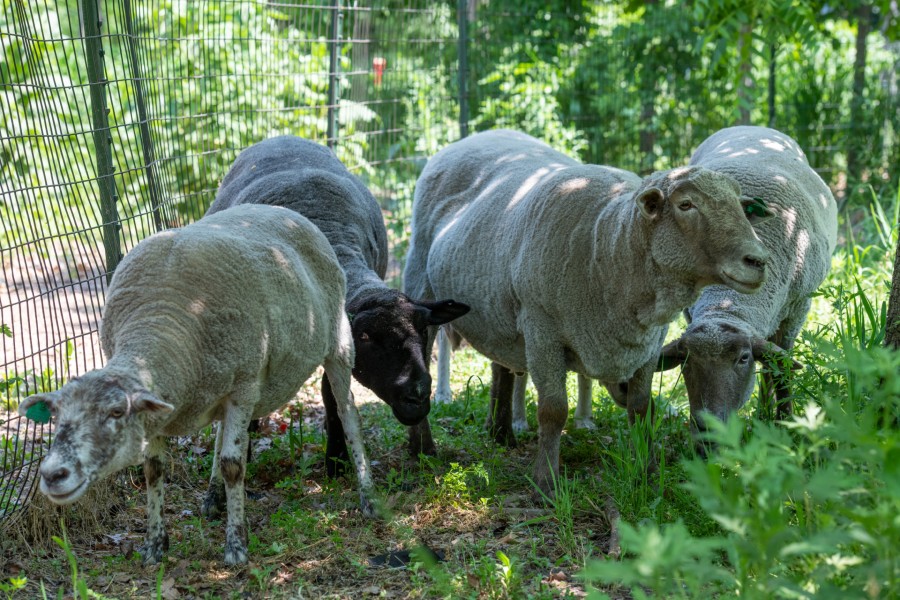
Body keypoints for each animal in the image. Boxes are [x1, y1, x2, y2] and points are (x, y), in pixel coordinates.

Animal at [18, 204, 374, 566]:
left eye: (117, 412)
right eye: (56, 416)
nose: (52, 474)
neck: (163, 321)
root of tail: (285, 211)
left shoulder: (243, 386)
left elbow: (234, 465)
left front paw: (235, 546)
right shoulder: (163, 405)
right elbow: (154, 469)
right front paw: (154, 546)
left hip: (338, 342)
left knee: (348, 416)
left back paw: (367, 496)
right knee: (221, 434)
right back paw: (213, 499)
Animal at [205, 136, 469, 463]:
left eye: (424, 329)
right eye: (366, 336)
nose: (417, 397)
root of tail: (282, 137)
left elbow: (332, 393)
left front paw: (337, 459)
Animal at [403, 129, 772, 493]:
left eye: (741, 207)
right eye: (686, 204)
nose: (758, 261)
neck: (608, 243)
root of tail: (478, 136)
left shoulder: (649, 344)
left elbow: (641, 407)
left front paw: (648, 473)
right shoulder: (542, 331)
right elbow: (553, 410)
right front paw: (547, 482)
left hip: (498, 311)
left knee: (501, 366)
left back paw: (501, 434)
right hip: (422, 283)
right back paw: (422, 449)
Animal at [656, 126, 838, 427]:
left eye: (743, 358)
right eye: (686, 361)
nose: (708, 428)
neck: (728, 301)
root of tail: (751, 127)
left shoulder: (797, 309)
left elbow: (781, 367)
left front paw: (785, 421)